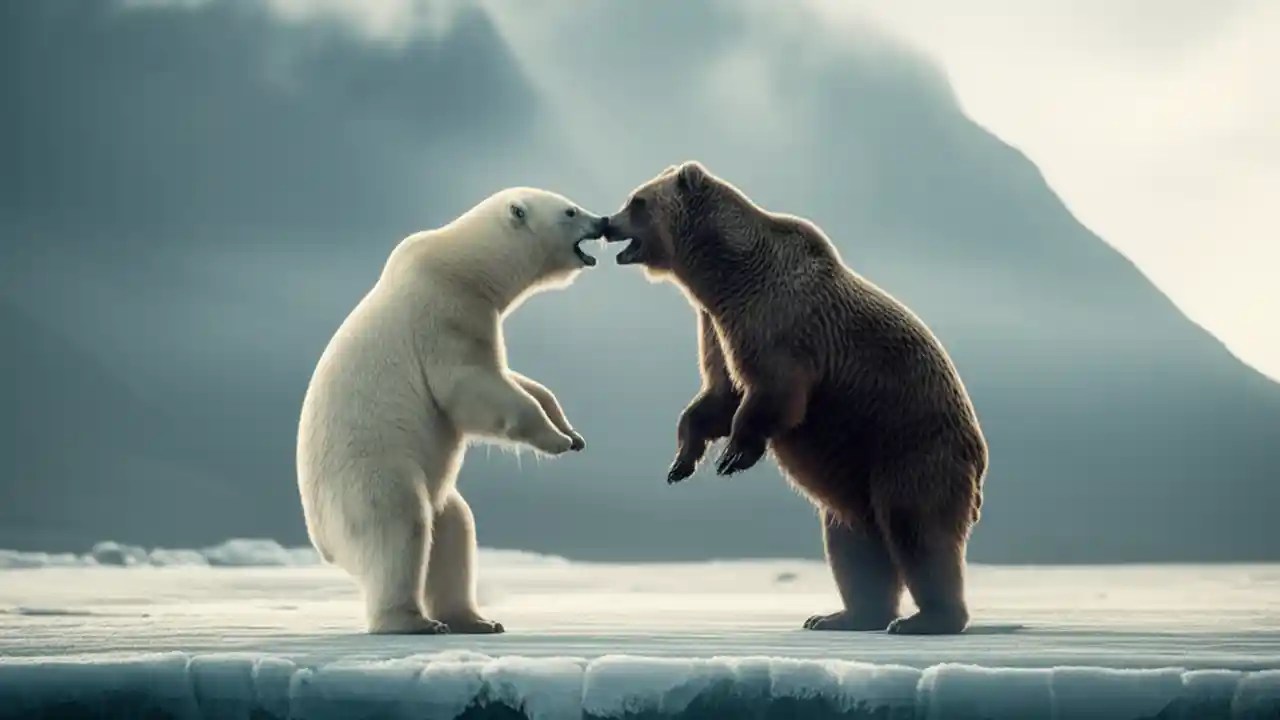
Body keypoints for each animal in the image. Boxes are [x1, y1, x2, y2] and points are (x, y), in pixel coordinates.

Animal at [296, 188, 606, 635]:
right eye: (570, 210)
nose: (603, 222)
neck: (461, 264)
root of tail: (322, 543)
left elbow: (516, 380)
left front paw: (571, 430)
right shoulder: (443, 314)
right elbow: (469, 389)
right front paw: (557, 439)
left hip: (433, 492)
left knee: (455, 527)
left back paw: (476, 620)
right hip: (368, 477)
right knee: (400, 525)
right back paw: (413, 621)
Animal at [602, 162, 988, 635]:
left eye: (637, 202)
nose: (607, 223)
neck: (724, 278)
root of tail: (980, 455)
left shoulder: (777, 322)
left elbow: (772, 392)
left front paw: (733, 455)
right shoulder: (716, 328)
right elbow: (719, 395)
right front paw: (681, 462)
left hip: (910, 448)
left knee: (917, 530)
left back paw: (927, 619)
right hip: (855, 476)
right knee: (853, 543)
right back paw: (841, 615)